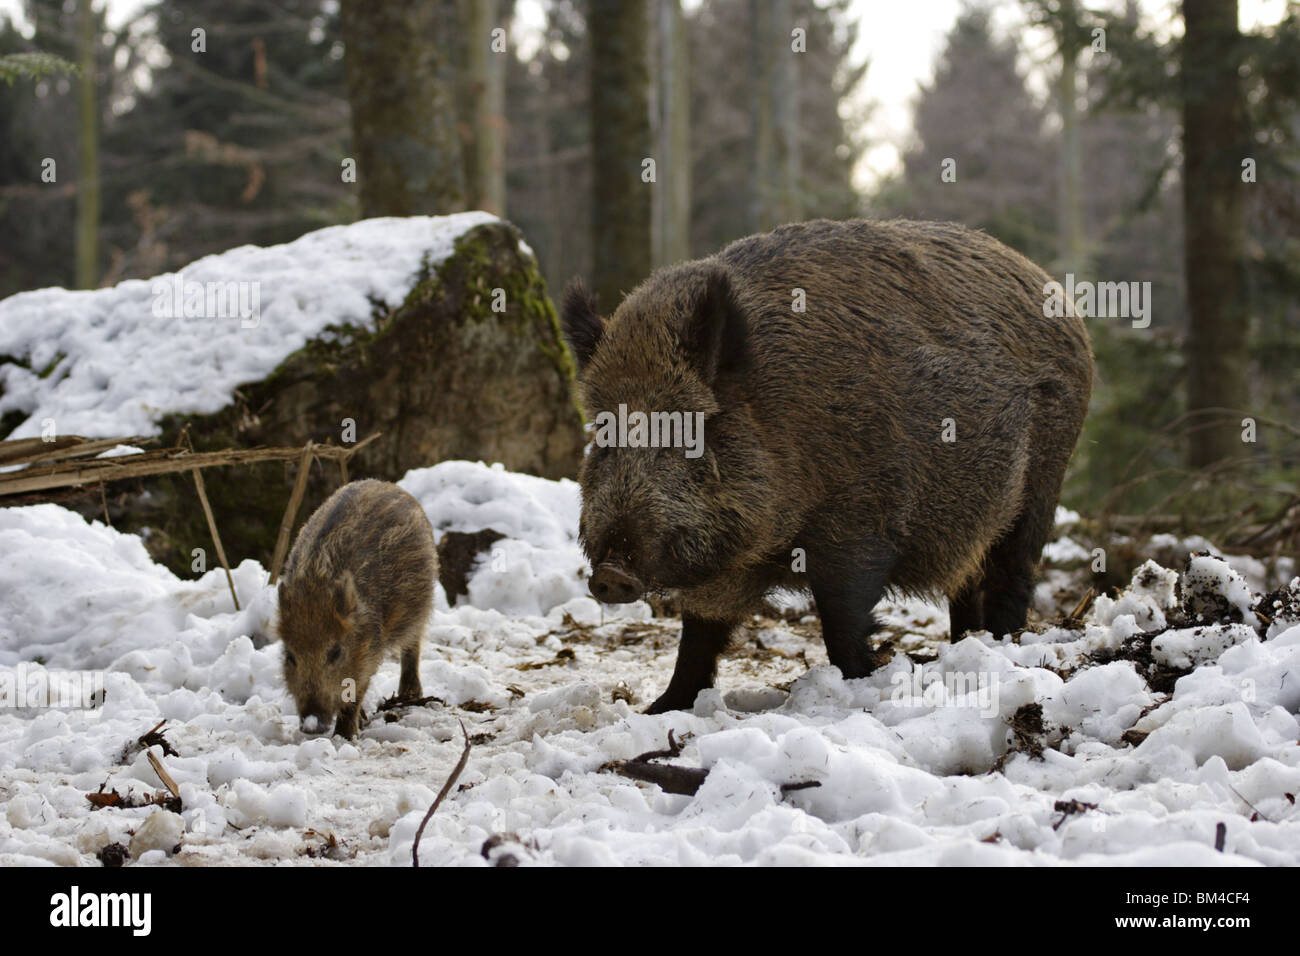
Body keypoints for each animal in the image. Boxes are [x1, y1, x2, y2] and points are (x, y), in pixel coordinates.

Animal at [276, 479, 437, 738]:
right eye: (290, 656)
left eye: (336, 652)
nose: (312, 725)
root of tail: (390, 485)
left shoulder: (367, 656)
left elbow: (356, 692)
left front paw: (345, 736)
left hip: (421, 604)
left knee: (413, 644)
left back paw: (410, 696)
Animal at [561, 218, 1093, 713]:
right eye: (603, 435)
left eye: (688, 434)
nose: (610, 574)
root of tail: (1061, 302)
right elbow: (699, 634)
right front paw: (664, 708)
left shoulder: (861, 521)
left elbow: (842, 618)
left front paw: (863, 680)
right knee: (966, 581)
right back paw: (965, 646)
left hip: (1044, 476)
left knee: (1013, 572)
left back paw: (1003, 646)